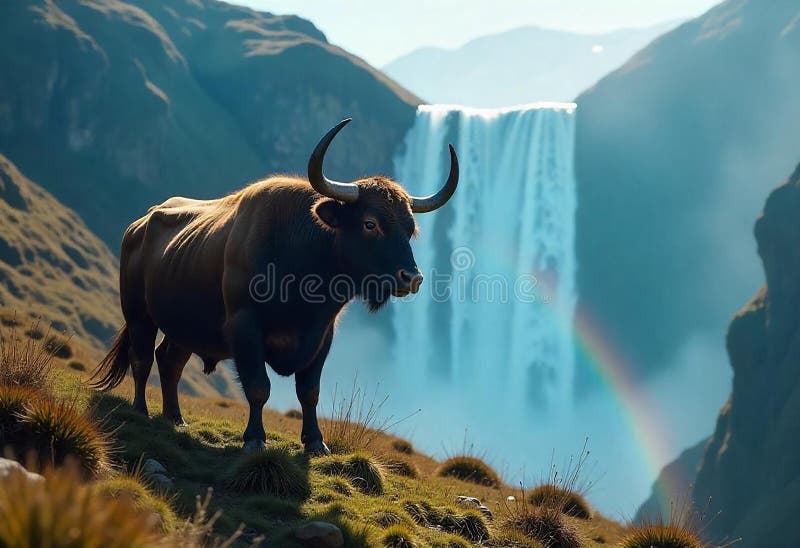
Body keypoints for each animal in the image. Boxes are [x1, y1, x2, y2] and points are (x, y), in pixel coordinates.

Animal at [90, 119, 458, 453]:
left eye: (410, 229)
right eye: (370, 224)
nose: (412, 278)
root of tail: (140, 224)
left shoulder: (322, 337)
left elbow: (309, 391)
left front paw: (315, 443)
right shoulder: (245, 326)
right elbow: (258, 387)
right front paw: (255, 439)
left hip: (183, 327)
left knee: (170, 362)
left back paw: (175, 418)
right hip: (139, 315)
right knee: (142, 358)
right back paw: (141, 410)